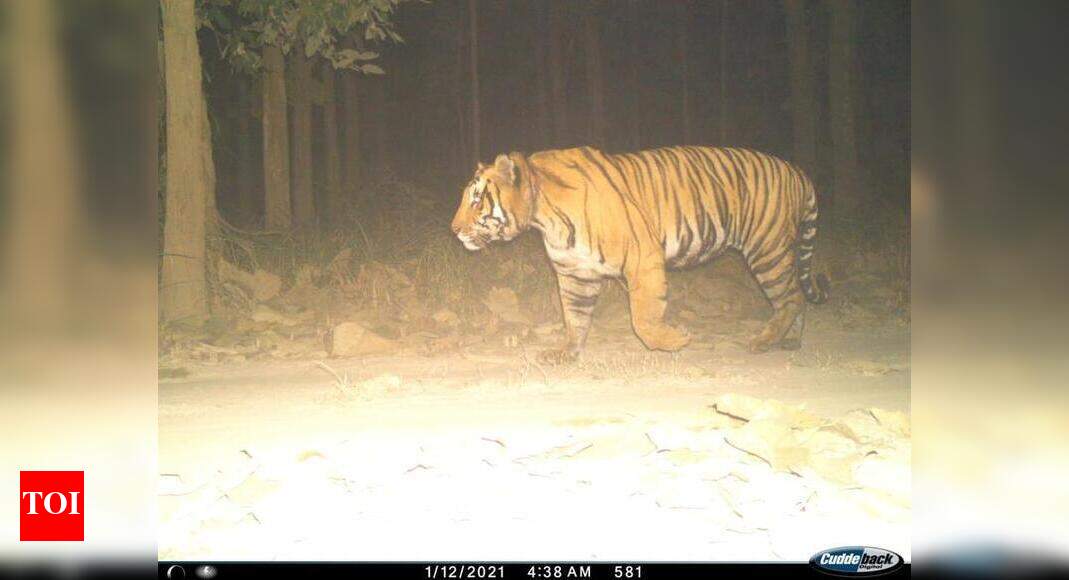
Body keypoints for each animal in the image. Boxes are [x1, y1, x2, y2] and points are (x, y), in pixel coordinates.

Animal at [450, 146, 829, 364]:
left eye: (476, 200)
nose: (453, 230)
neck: (543, 215)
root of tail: (797, 171)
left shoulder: (643, 257)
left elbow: (643, 318)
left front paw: (675, 340)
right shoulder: (575, 273)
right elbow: (574, 317)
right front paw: (566, 353)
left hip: (766, 249)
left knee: (791, 297)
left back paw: (764, 340)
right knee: (796, 296)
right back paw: (789, 341)